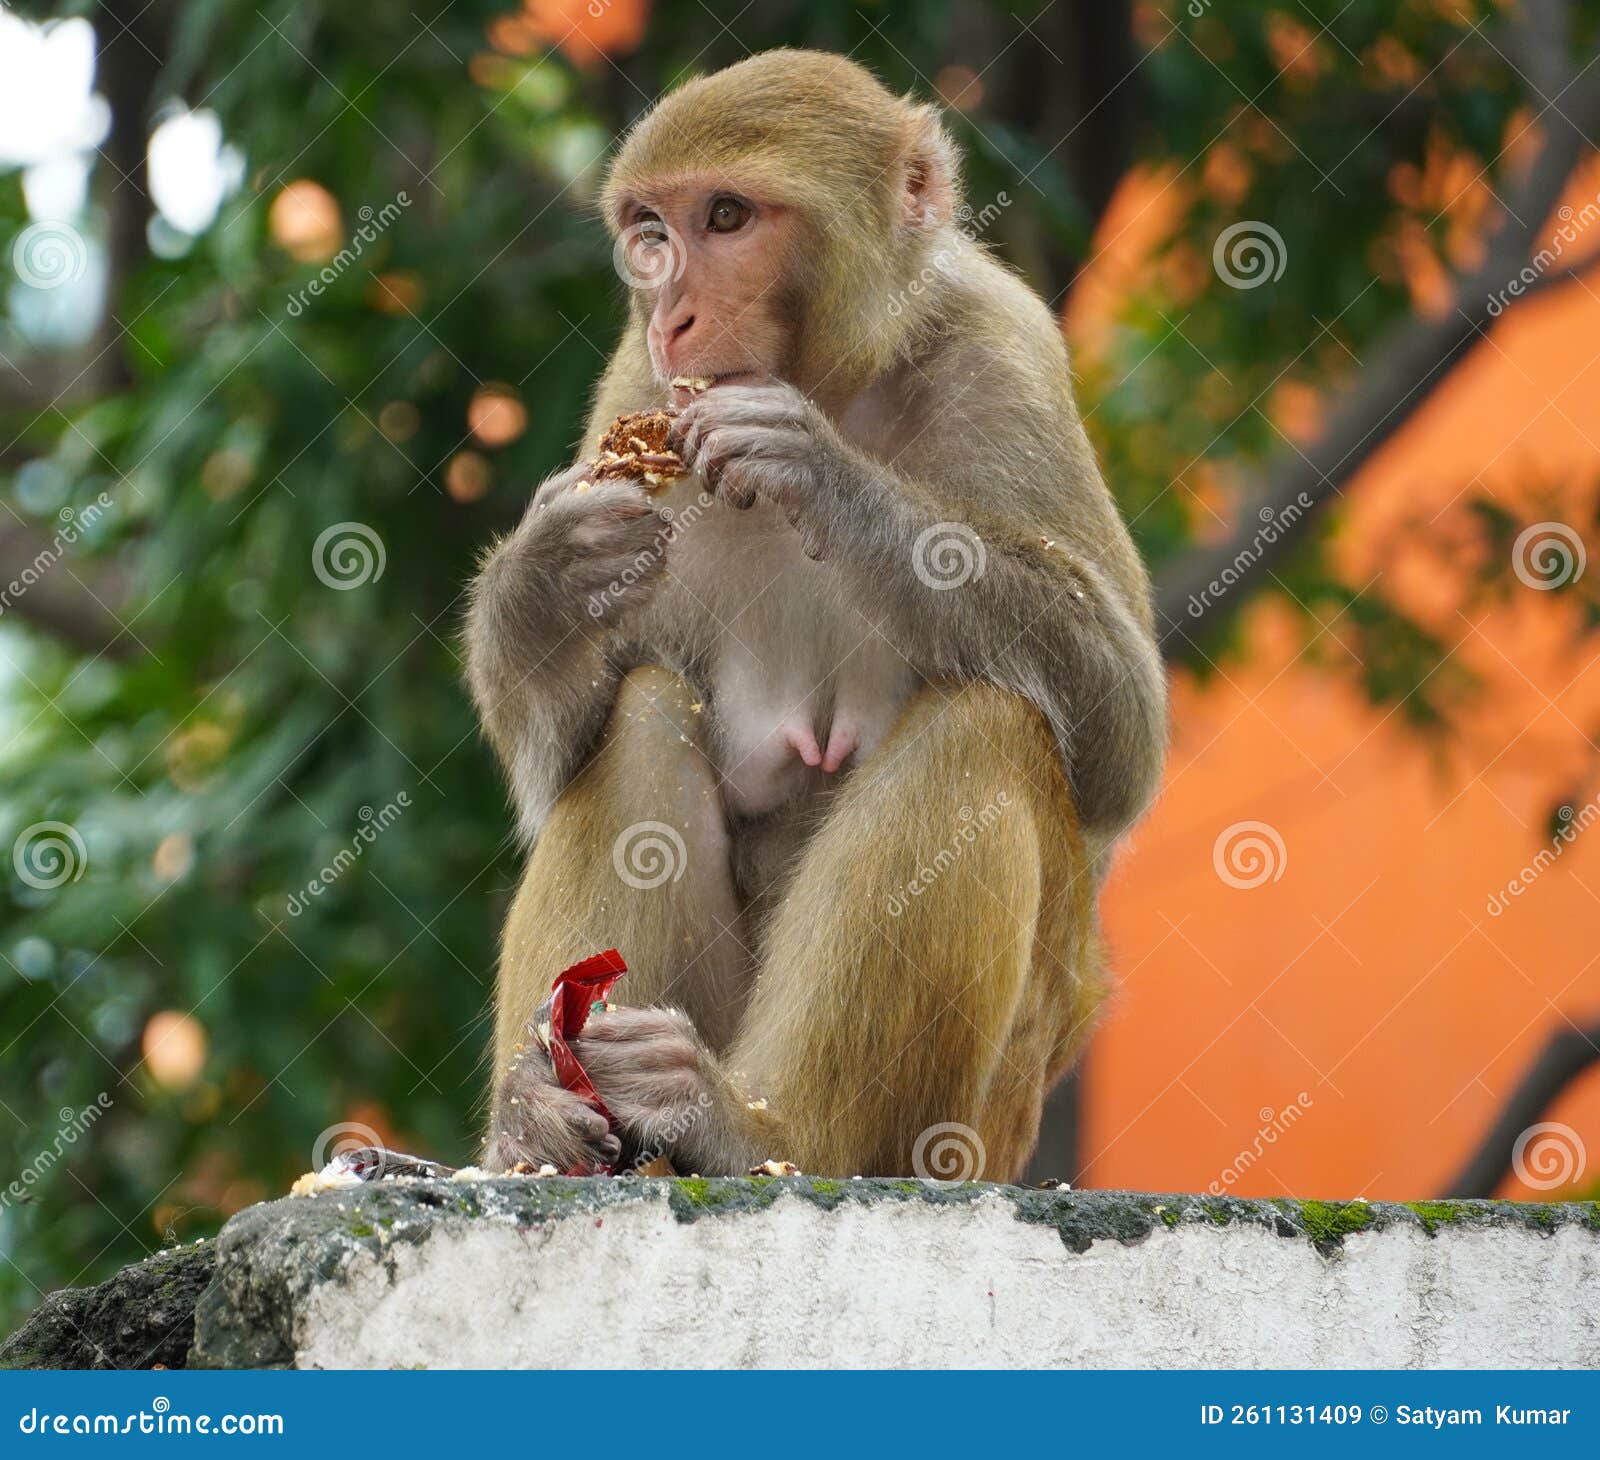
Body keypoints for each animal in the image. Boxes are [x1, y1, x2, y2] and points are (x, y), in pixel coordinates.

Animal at [464, 49, 1167, 1182]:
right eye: (651, 230)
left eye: (726, 216)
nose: (671, 313)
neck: (841, 383)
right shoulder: (637, 376)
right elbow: (554, 750)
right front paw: (545, 572)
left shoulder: (1008, 349)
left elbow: (1121, 738)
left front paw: (825, 476)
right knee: (642, 707)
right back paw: (546, 1114)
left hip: (978, 1123)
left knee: (986, 720)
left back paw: (757, 1130)